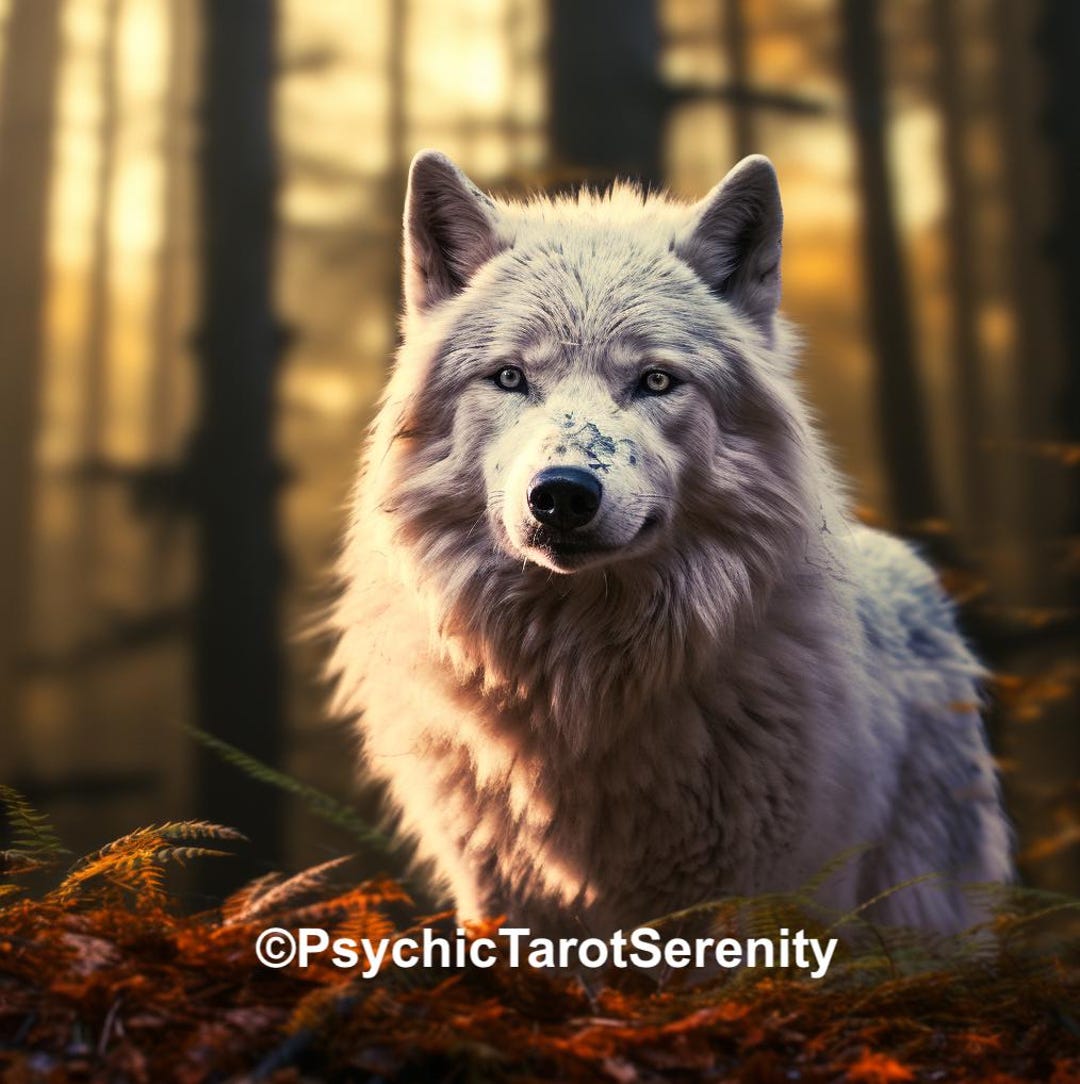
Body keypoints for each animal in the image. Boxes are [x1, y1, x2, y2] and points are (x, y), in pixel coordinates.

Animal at [329, 150, 1012, 939]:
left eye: (656, 380)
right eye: (509, 377)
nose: (562, 494)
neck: (582, 690)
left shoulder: (760, 894)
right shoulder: (505, 899)